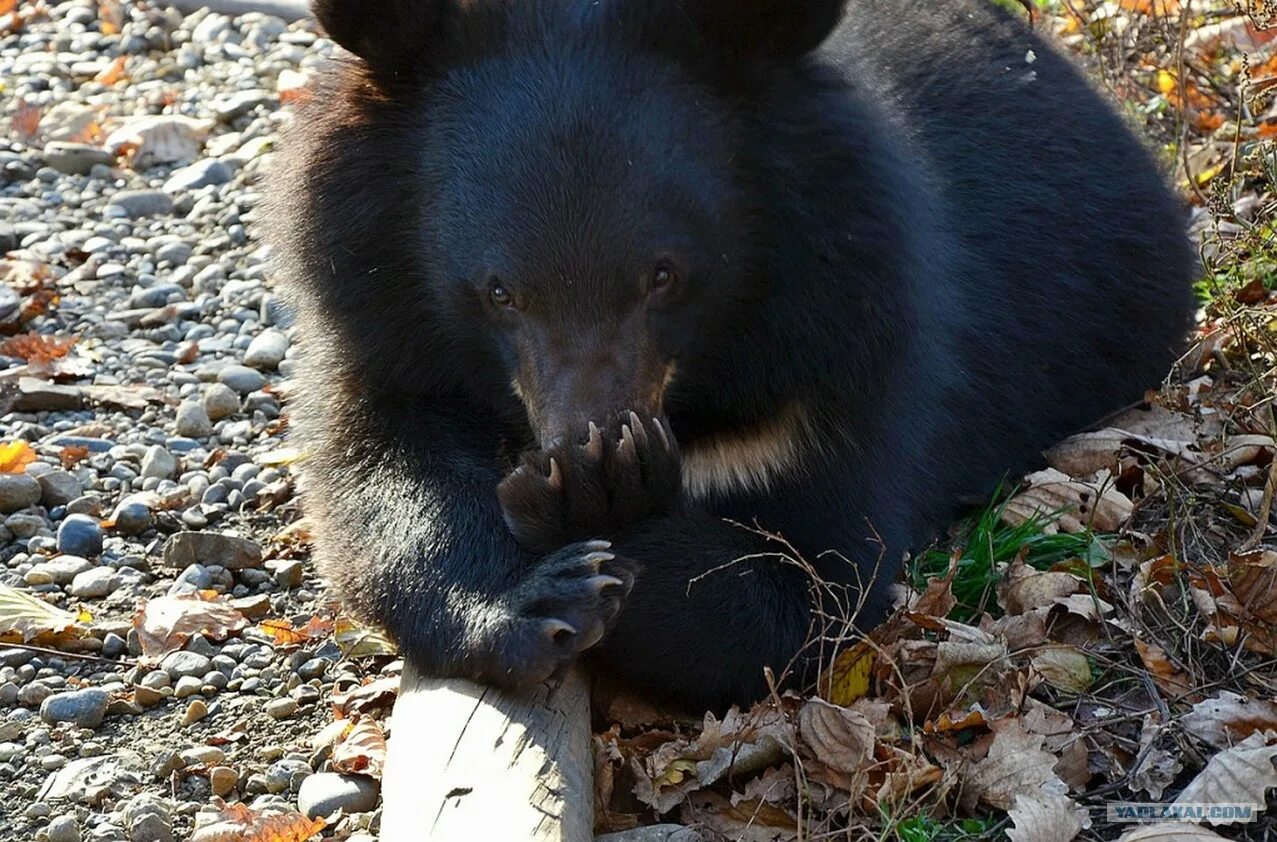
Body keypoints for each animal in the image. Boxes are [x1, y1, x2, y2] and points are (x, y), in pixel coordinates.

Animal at [269, 0, 1195, 710]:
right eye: (498, 291)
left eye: (664, 276)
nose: (583, 441)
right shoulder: (381, 330)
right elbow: (385, 484)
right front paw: (535, 600)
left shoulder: (847, 351)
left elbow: (806, 588)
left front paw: (598, 502)